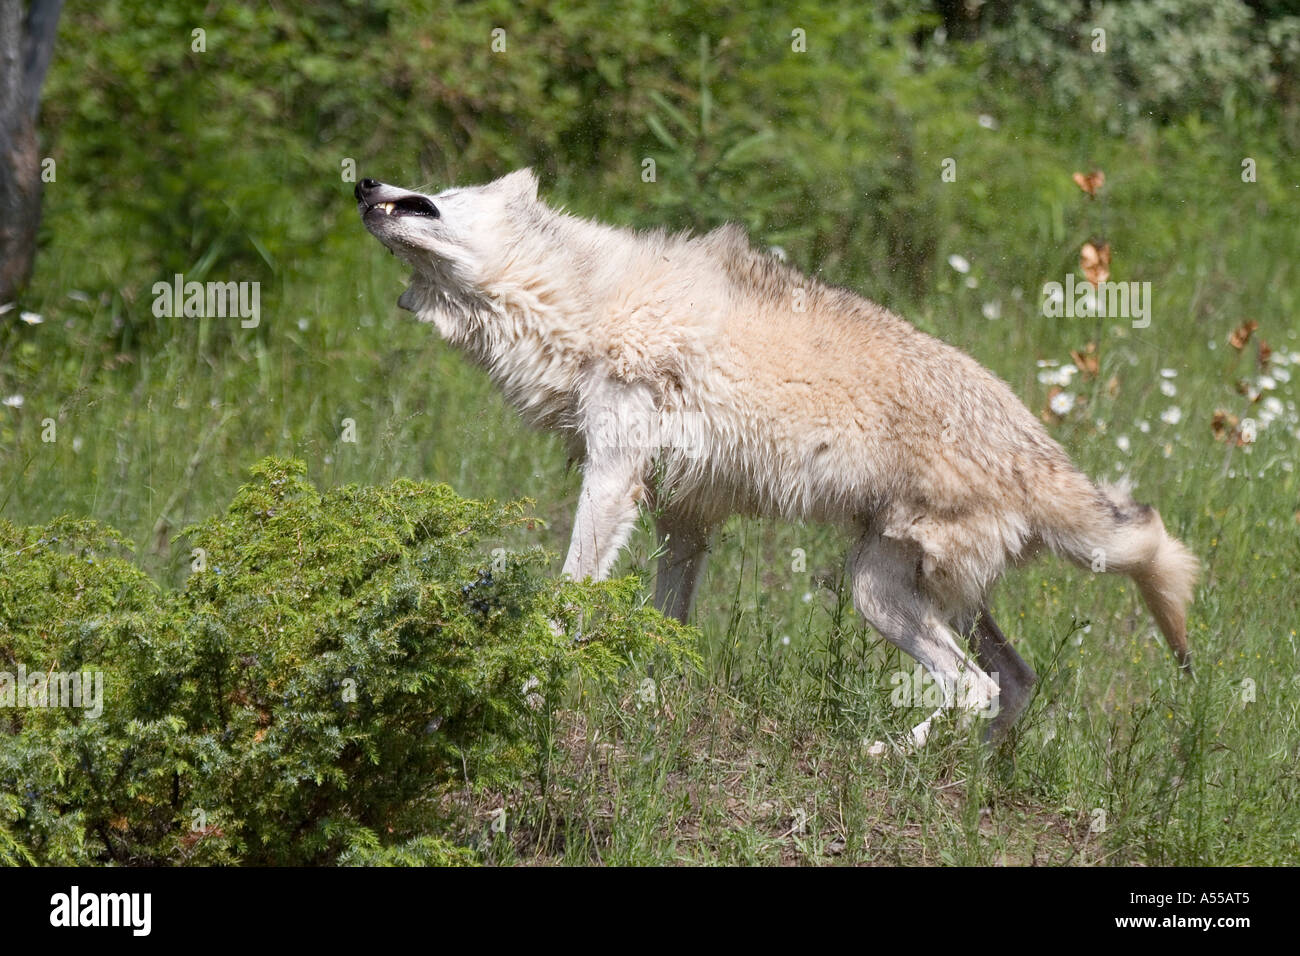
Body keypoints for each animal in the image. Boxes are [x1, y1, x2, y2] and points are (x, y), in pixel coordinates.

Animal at [355, 169, 1198, 748]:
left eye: (439, 191)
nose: (363, 184)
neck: (584, 304)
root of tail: (1043, 454)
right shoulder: (683, 516)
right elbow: (664, 623)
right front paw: (647, 703)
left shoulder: (613, 479)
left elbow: (566, 600)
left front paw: (532, 688)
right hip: (923, 591)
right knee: (1014, 682)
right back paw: (971, 779)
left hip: (874, 591)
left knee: (972, 690)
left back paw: (883, 756)